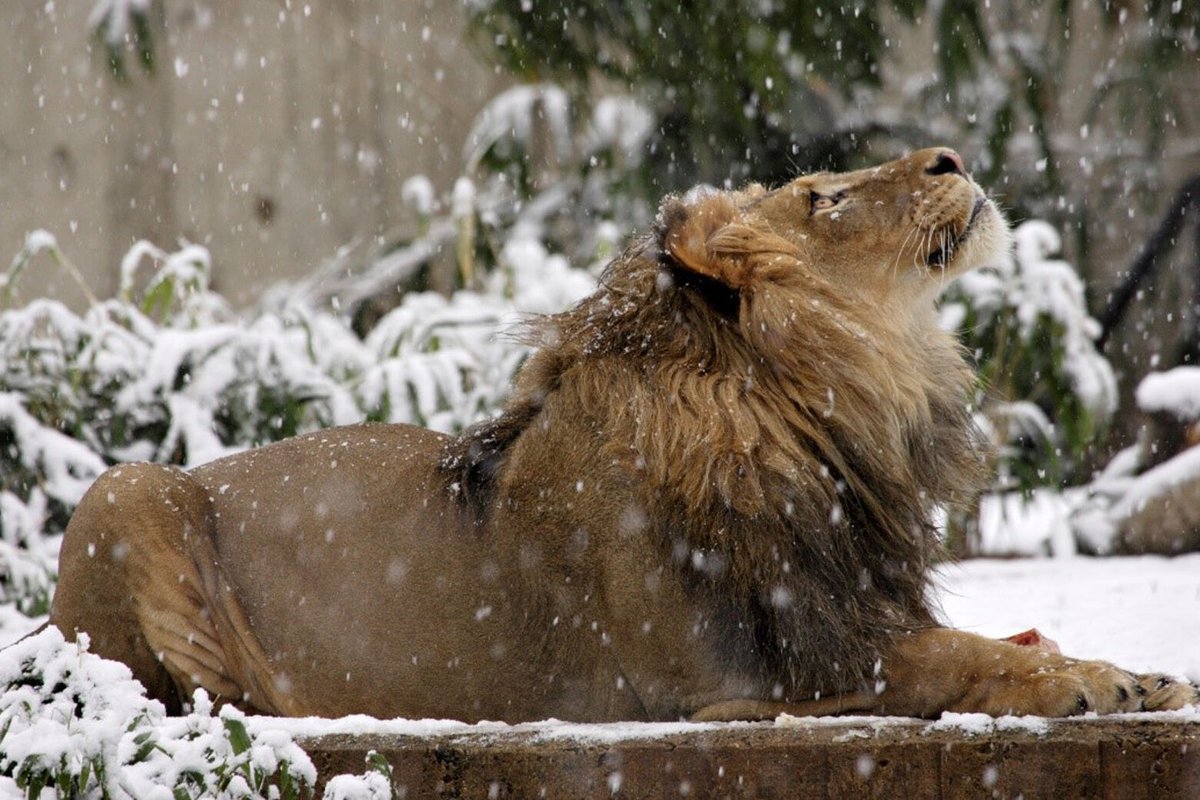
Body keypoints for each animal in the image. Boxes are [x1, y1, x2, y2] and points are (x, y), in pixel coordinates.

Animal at [49, 148, 1198, 722]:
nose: (952, 154)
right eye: (821, 196)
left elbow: (994, 638)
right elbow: (955, 659)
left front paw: (1135, 672)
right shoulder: (729, 681)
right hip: (129, 488)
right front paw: (1088, 681)